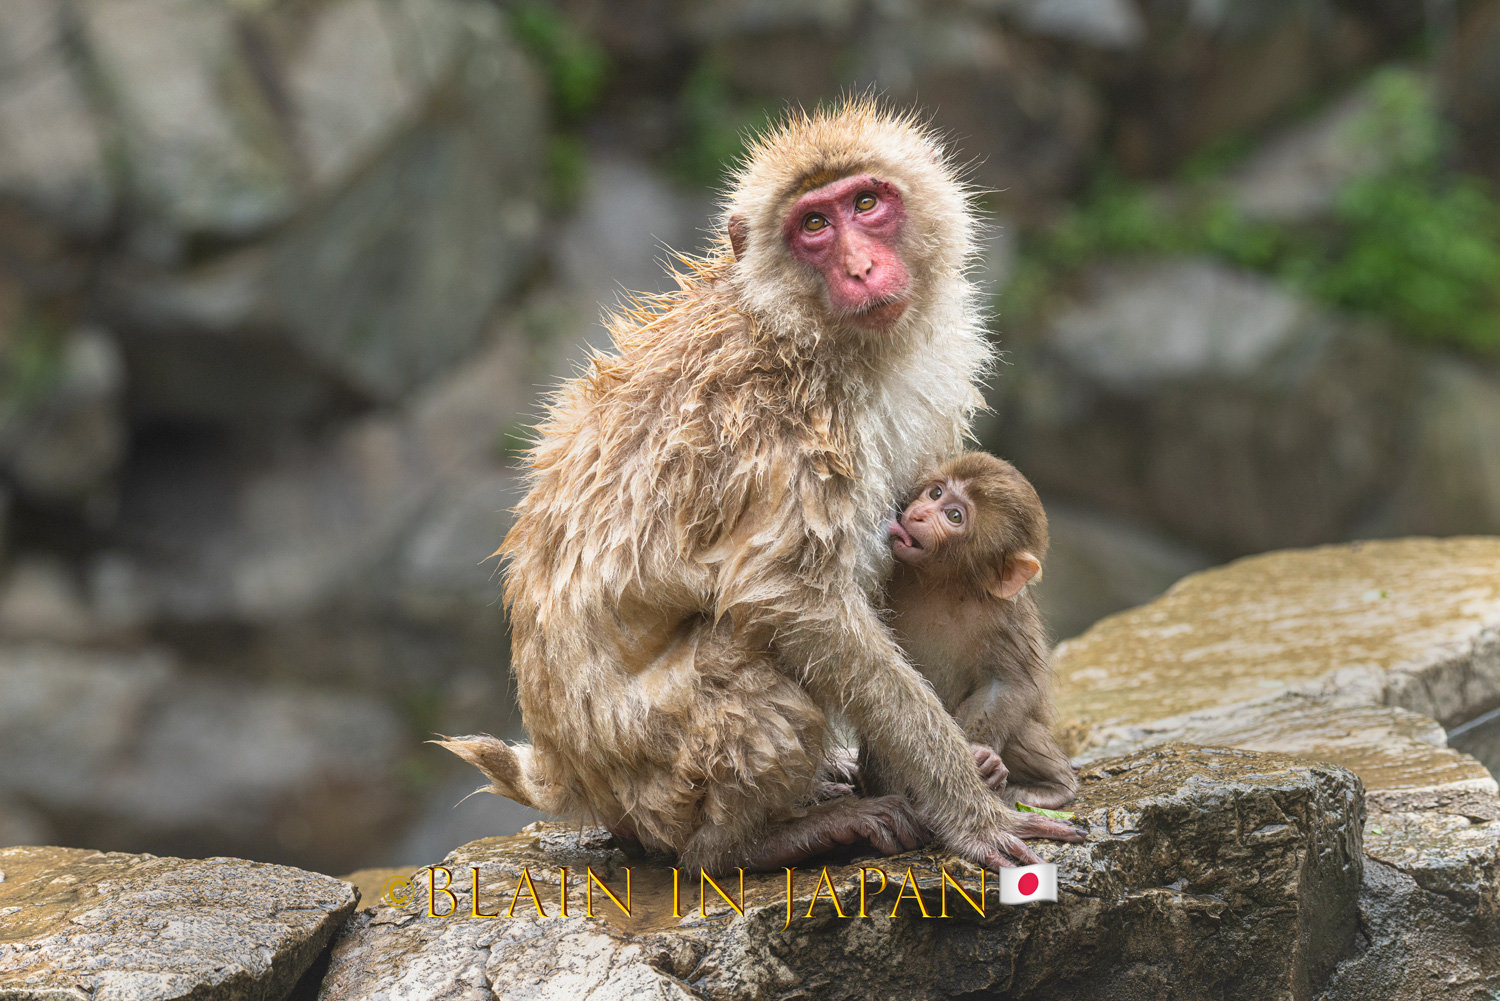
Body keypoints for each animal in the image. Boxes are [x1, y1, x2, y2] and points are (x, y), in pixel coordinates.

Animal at [884, 452, 1078, 810]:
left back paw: (1054, 786)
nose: (917, 514)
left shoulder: (1006, 616)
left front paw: (982, 759)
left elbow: (1006, 683)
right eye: (935, 493)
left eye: (954, 516)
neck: (942, 587)